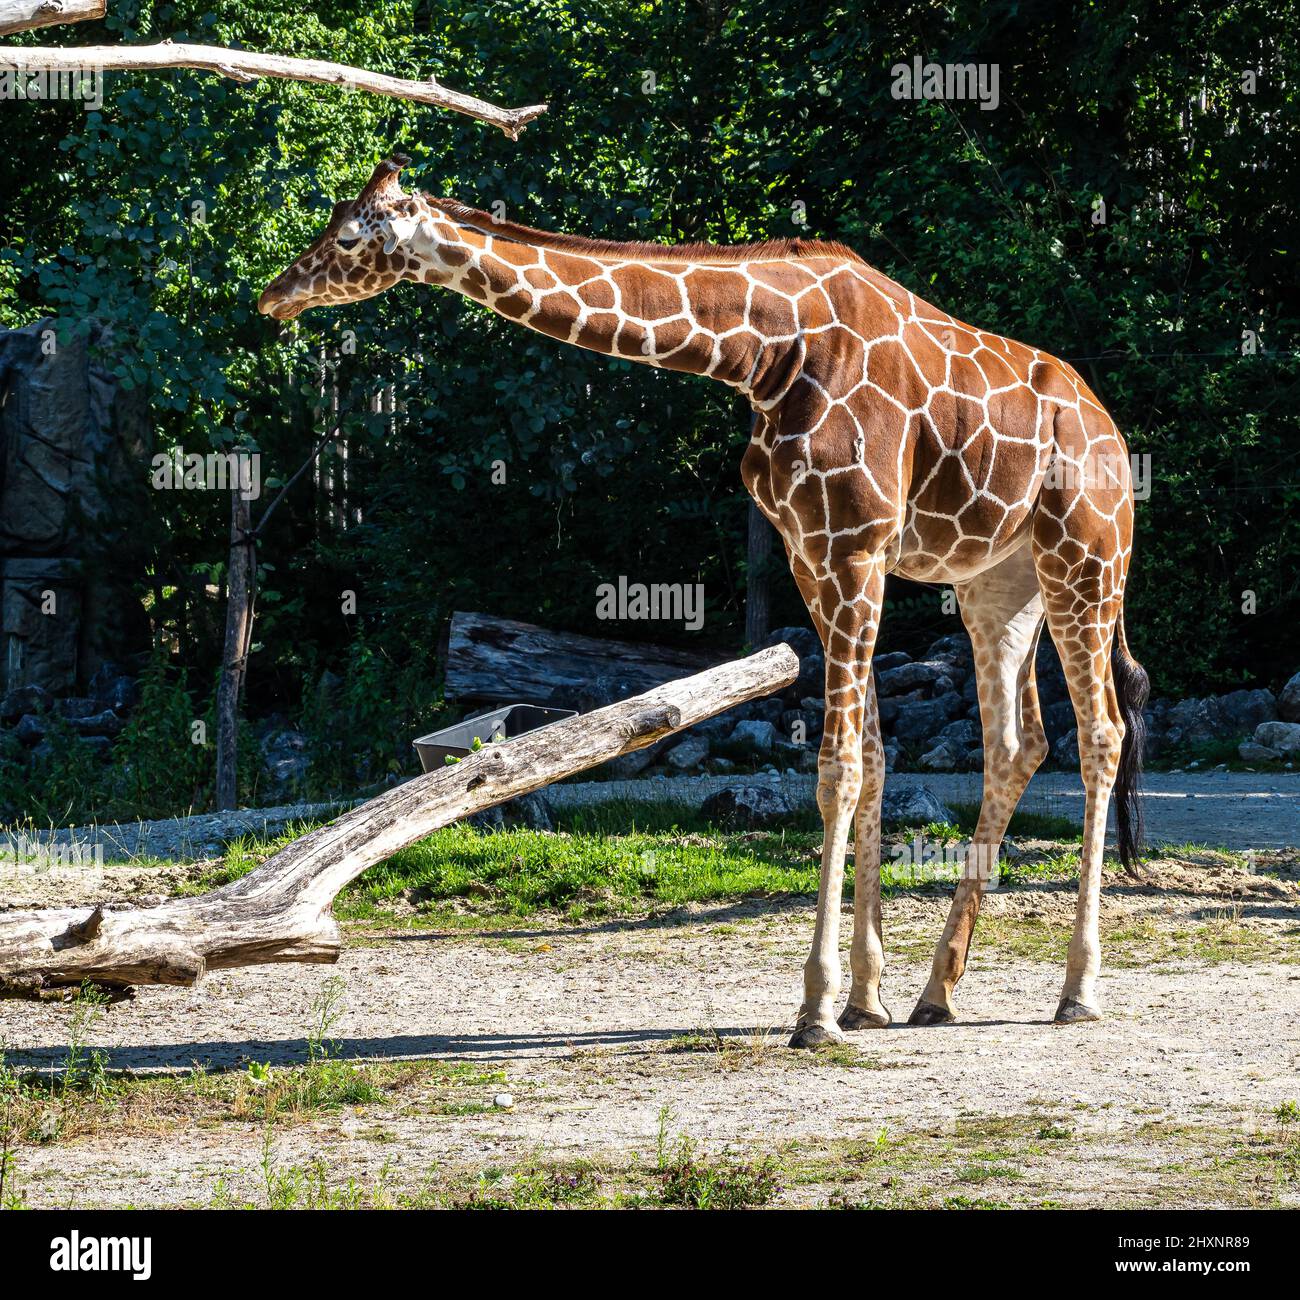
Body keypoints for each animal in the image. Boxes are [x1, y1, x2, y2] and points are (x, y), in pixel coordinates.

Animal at [259, 155, 1149, 1045]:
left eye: (348, 237)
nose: (274, 294)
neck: (762, 352)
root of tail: (1109, 429)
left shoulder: (855, 547)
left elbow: (836, 768)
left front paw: (816, 1008)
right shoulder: (811, 555)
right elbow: (873, 758)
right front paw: (866, 998)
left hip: (1085, 559)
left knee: (1100, 733)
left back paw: (1079, 989)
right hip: (997, 582)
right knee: (1018, 742)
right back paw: (939, 991)